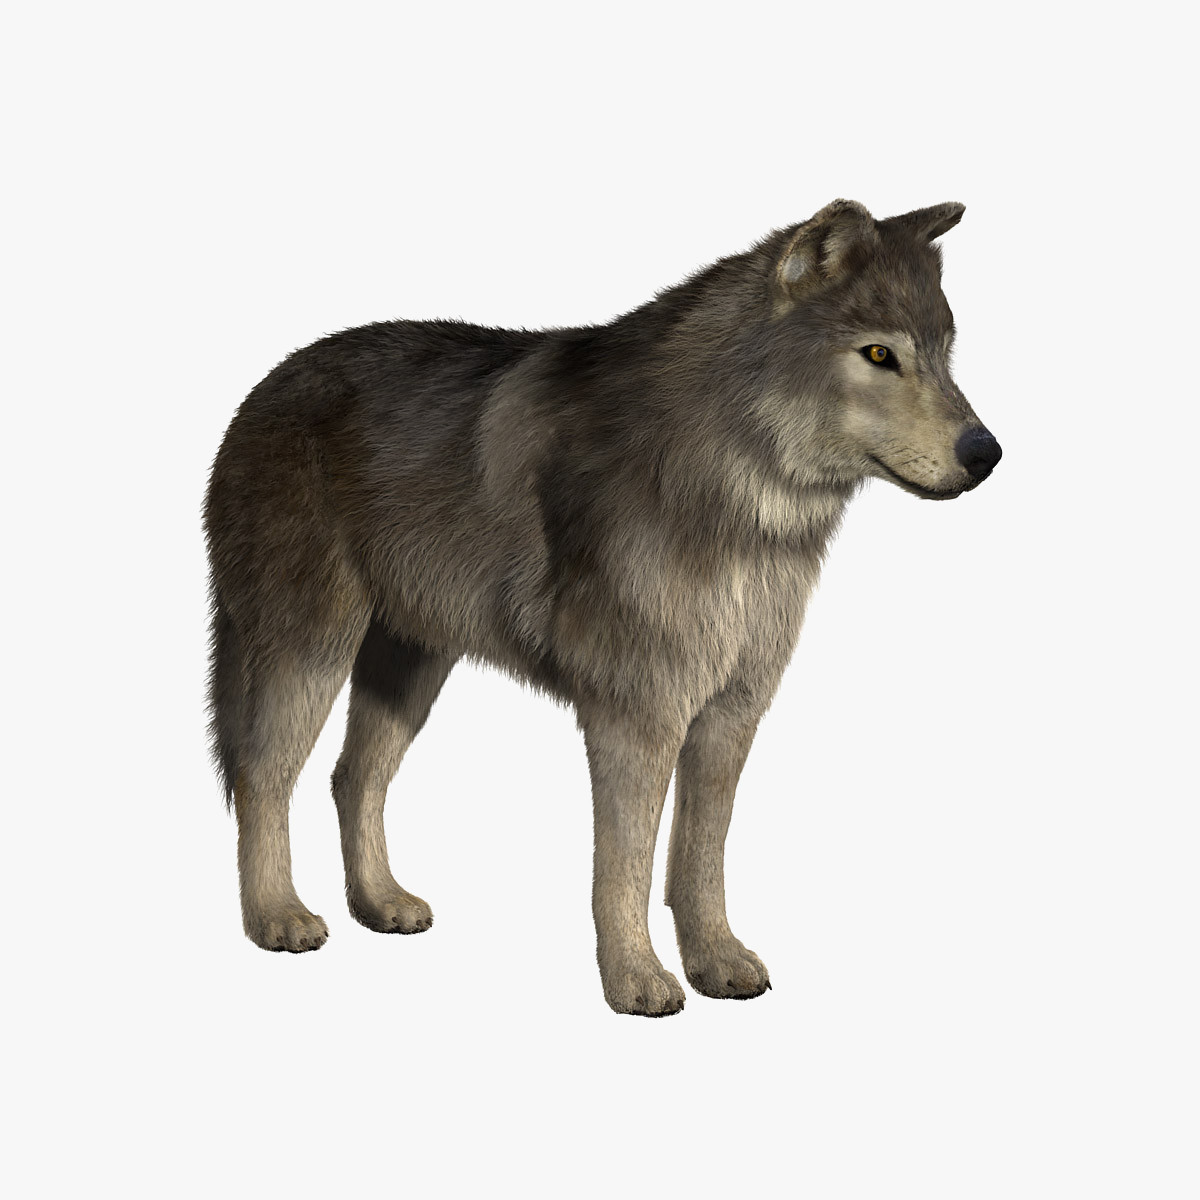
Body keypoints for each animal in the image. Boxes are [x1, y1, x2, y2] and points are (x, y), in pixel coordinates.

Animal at [204, 199, 1001, 1016]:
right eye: (879, 355)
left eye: (945, 353)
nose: (987, 454)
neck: (731, 489)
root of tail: (264, 389)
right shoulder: (636, 715)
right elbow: (625, 865)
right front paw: (637, 981)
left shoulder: (728, 715)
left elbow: (699, 859)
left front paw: (716, 962)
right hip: (311, 649)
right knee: (262, 774)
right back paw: (277, 917)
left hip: (411, 665)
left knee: (352, 777)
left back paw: (381, 903)